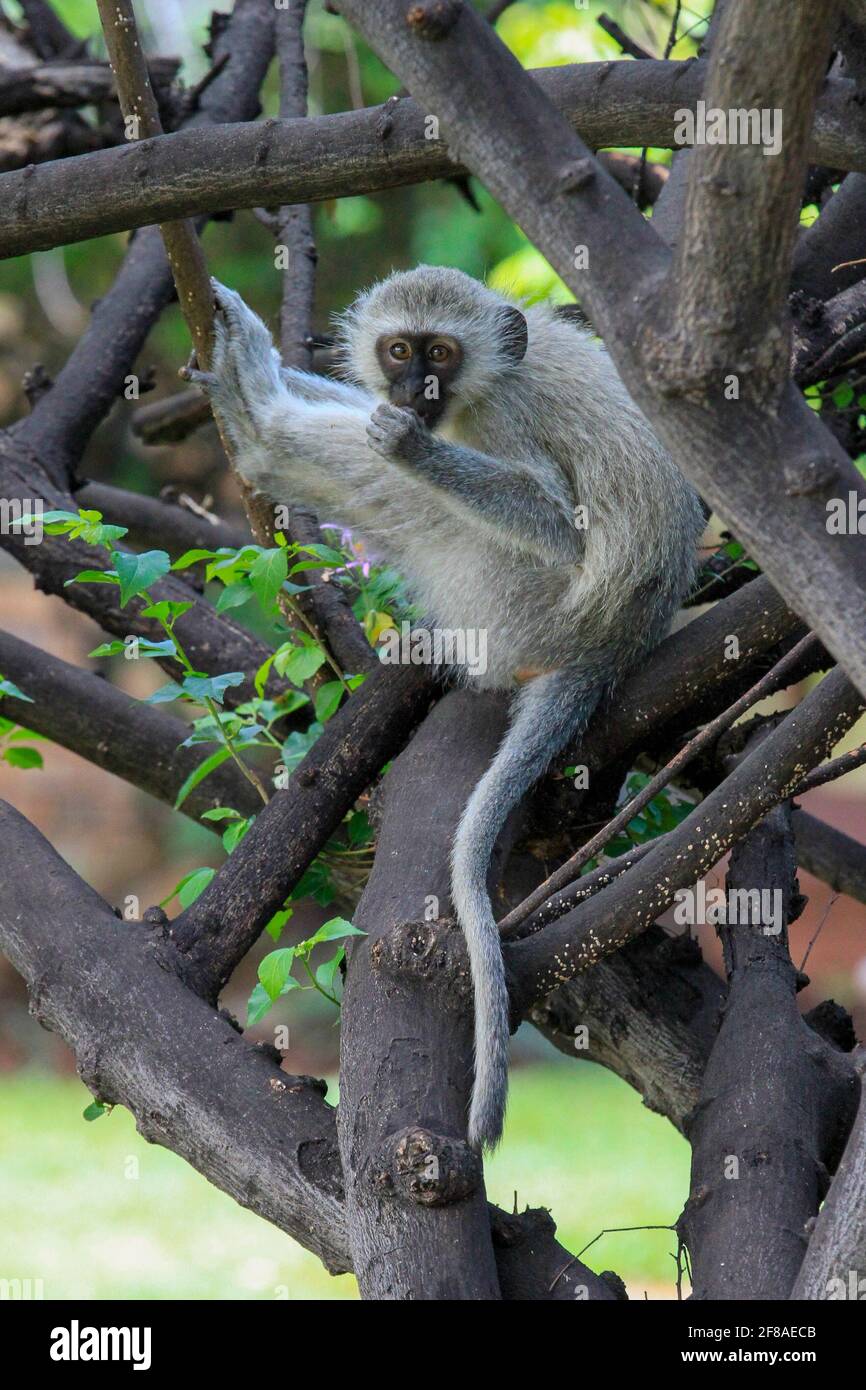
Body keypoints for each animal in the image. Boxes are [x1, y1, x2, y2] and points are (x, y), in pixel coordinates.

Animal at [189, 267, 705, 1152]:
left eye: (441, 354)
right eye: (400, 349)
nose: (412, 391)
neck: (483, 387)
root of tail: (608, 648)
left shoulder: (502, 422)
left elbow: (561, 526)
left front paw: (408, 445)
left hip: (508, 591)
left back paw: (259, 426)